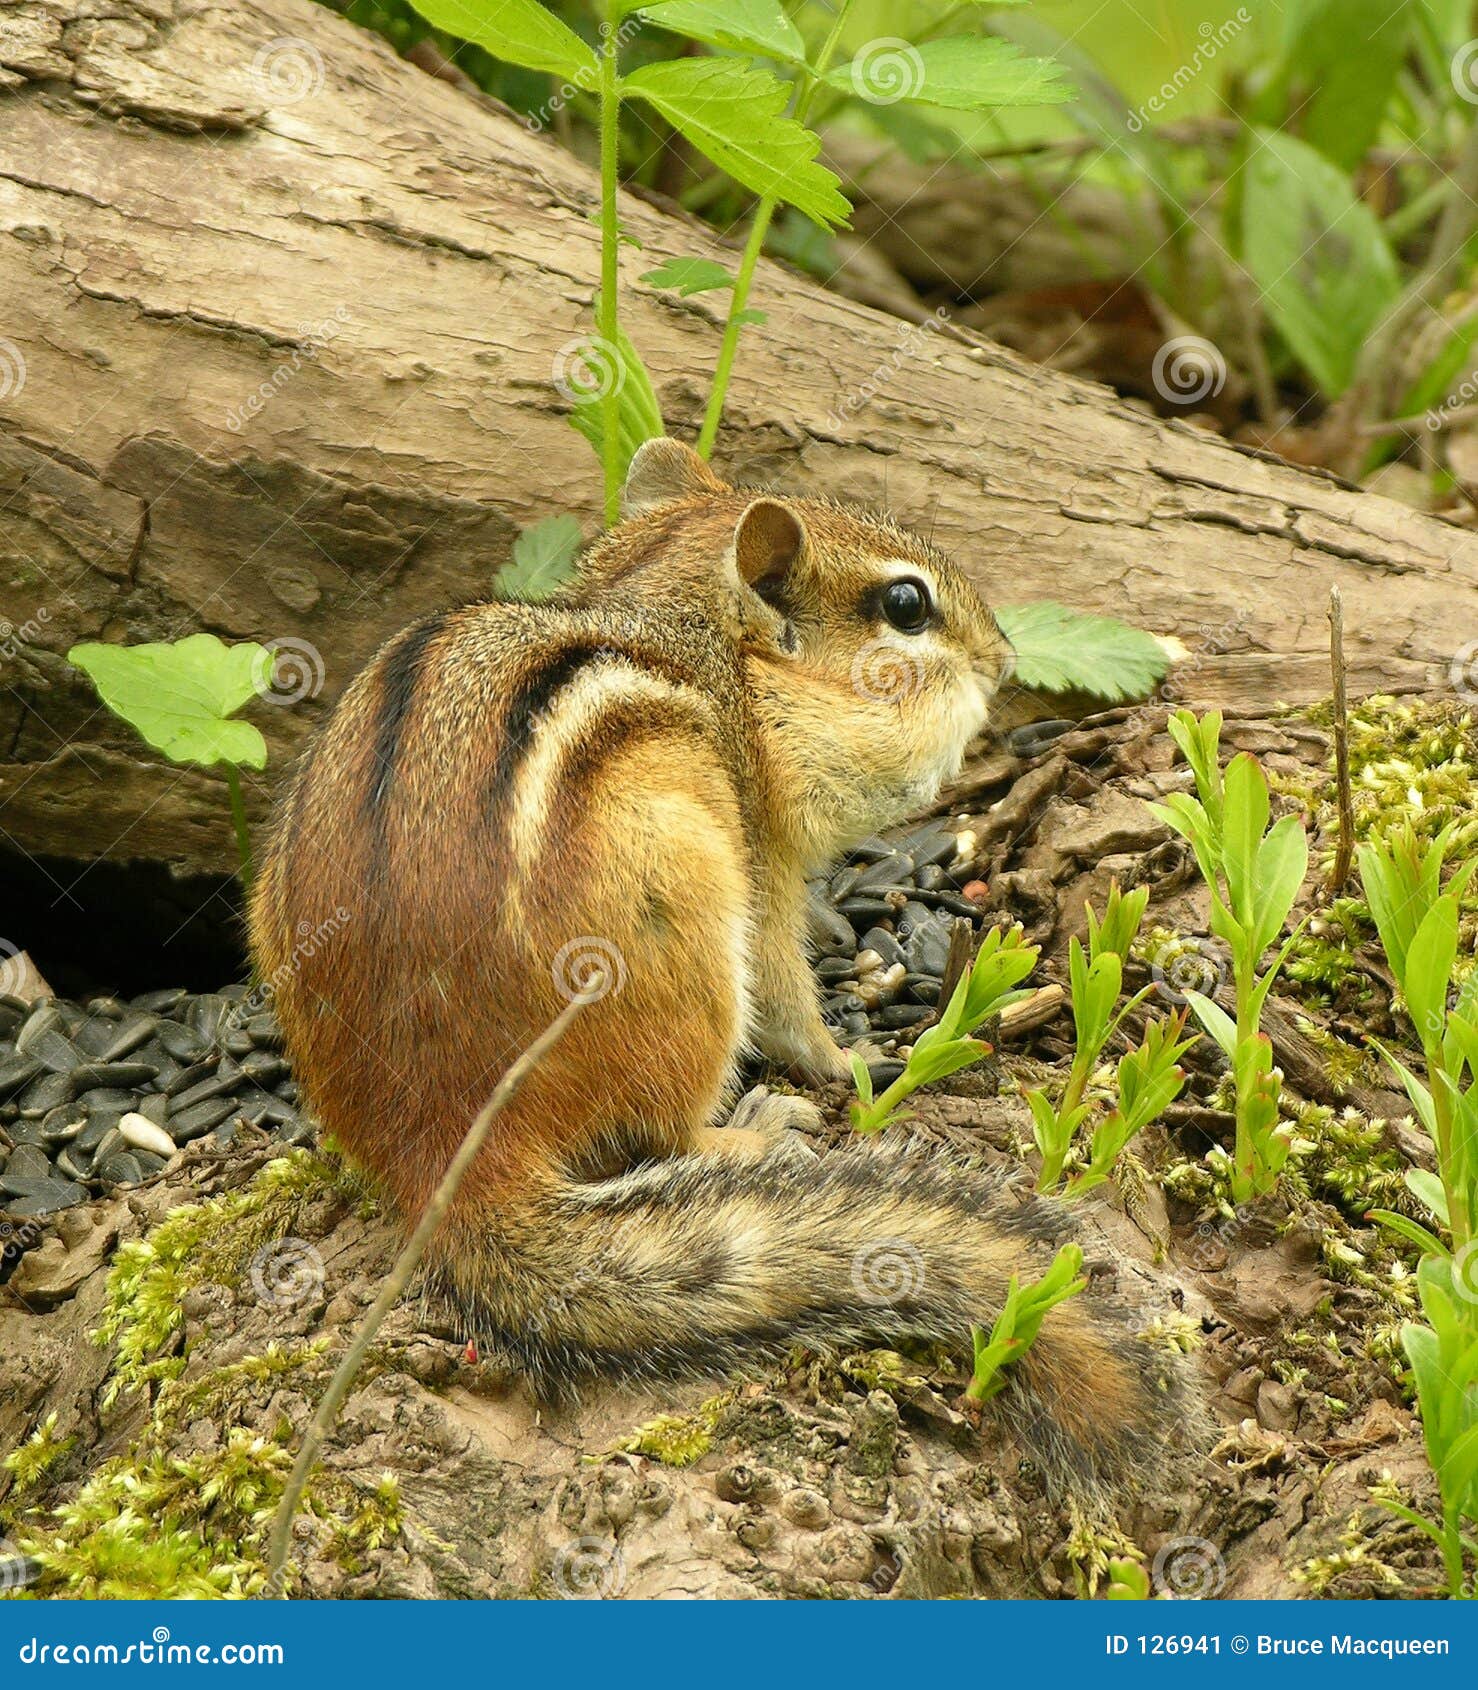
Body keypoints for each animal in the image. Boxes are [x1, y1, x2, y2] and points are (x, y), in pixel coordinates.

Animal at [249, 438, 1201, 1500]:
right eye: (907, 606)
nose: (1004, 654)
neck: (698, 640)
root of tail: (440, 1150)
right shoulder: (759, 840)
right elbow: (788, 990)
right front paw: (847, 1058)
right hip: (683, 918)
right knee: (659, 1126)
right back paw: (757, 1127)